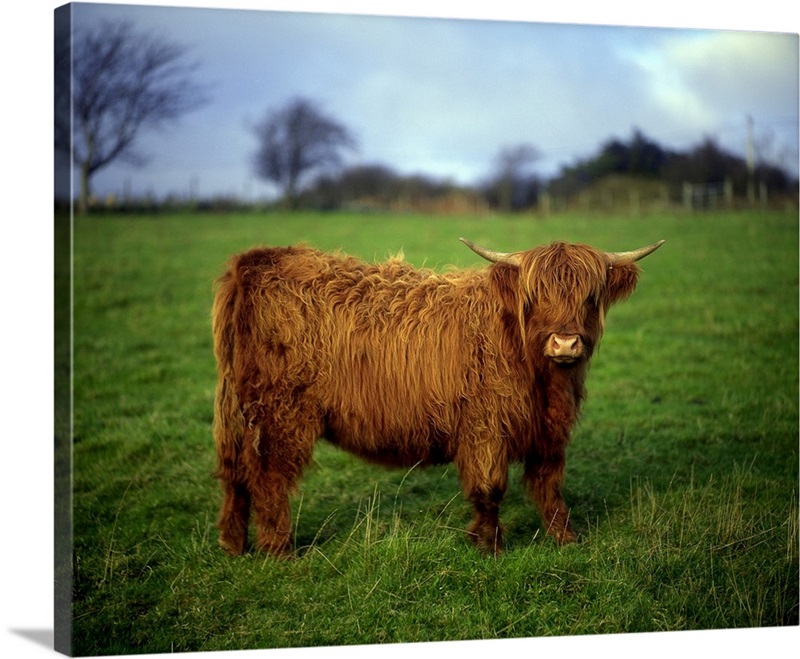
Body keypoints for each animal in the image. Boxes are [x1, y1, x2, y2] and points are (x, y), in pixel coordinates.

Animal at [211, 236, 663, 557]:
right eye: (534, 297)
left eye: (591, 296)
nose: (566, 343)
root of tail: (254, 262)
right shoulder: (485, 427)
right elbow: (490, 488)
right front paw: (490, 546)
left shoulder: (549, 429)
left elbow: (549, 485)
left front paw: (565, 538)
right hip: (281, 414)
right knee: (268, 475)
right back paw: (278, 549)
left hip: (241, 409)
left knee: (235, 473)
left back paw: (233, 545)